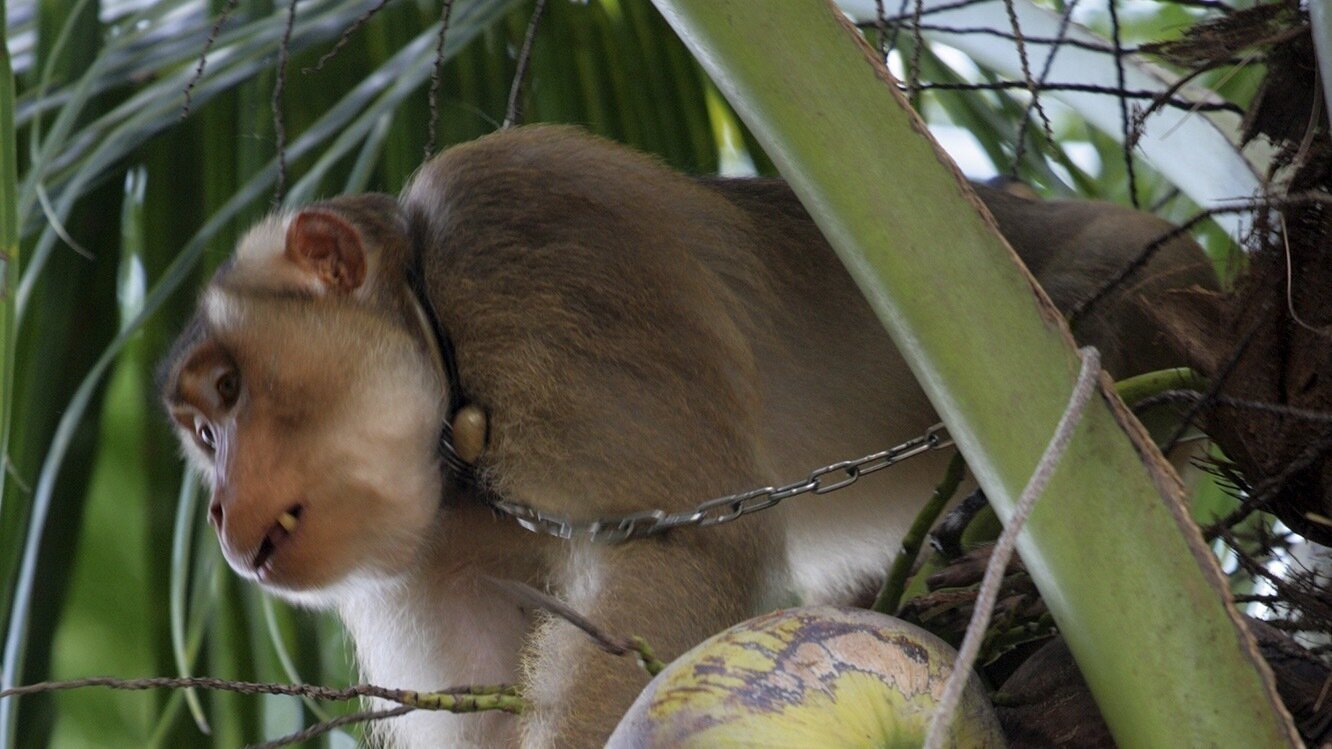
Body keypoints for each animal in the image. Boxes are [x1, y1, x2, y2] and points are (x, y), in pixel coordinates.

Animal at [160, 125, 1217, 748]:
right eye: (204, 431)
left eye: (230, 391)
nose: (217, 507)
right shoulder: (430, 560)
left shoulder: (531, 246)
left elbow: (674, 549)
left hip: (1147, 288)